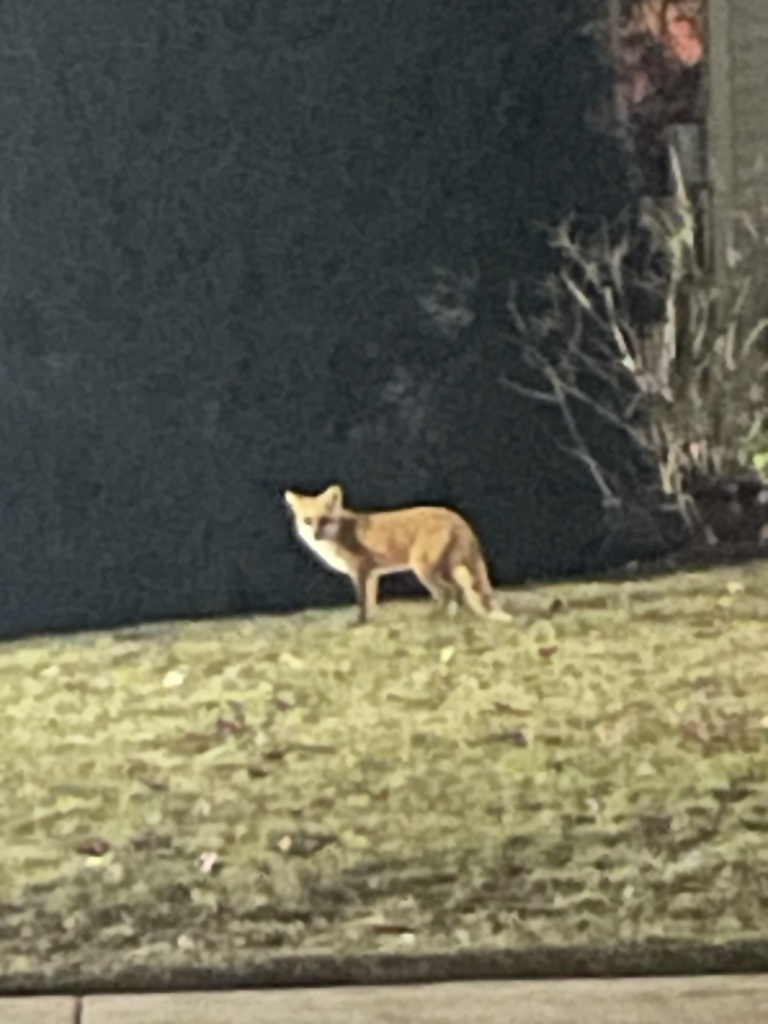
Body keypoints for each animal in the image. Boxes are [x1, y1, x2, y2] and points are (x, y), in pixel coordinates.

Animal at [283, 483, 511, 625]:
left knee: (450, 592)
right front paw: (371, 621)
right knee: (455, 593)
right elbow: (371, 602)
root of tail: (456, 516)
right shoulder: (372, 574)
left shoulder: (360, 570)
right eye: (308, 521)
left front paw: (359, 623)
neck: (341, 534)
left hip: (424, 569)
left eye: (324, 520)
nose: (316, 536)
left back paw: (438, 618)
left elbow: (362, 602)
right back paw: (450, 617)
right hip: (444, 568)